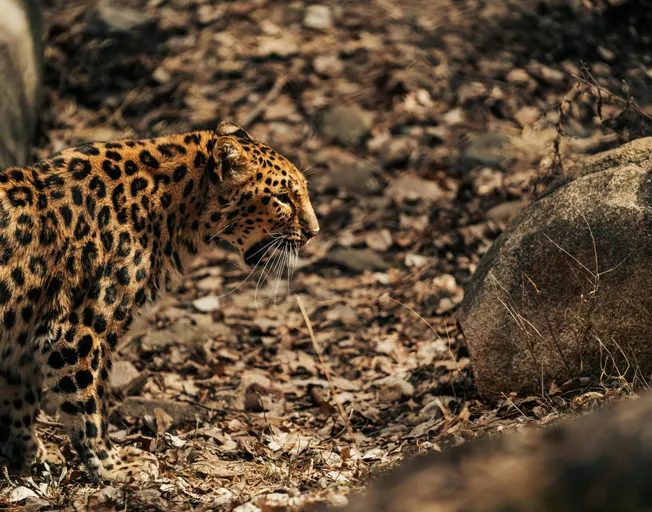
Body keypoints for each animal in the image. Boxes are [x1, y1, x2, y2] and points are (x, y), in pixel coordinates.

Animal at [0, 121, 319, 482]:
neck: (174, 207)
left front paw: (28, 454)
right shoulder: (76, 335)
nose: (315, 232)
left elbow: (19, 400)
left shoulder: (22, 337)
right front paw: (113, 466)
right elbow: (88, 407)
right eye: (282, 198)